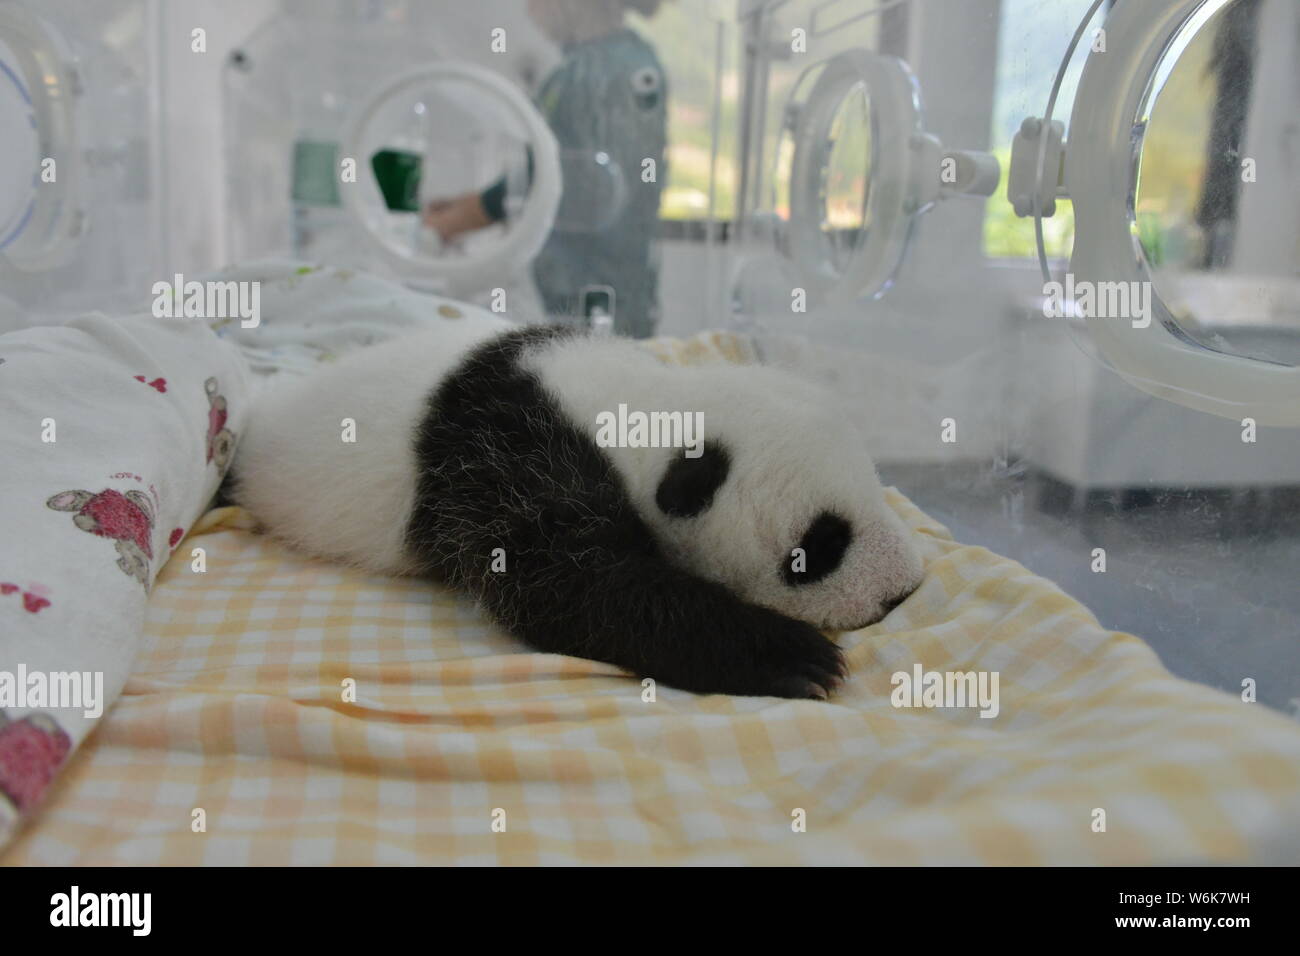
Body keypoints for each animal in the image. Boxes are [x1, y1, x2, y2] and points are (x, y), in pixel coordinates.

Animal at [231, 320, 924, 699]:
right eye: (820, 547)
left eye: (876, 483)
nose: (903, 591)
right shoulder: (504, 458)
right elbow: (570, 583)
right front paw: (795, 657)